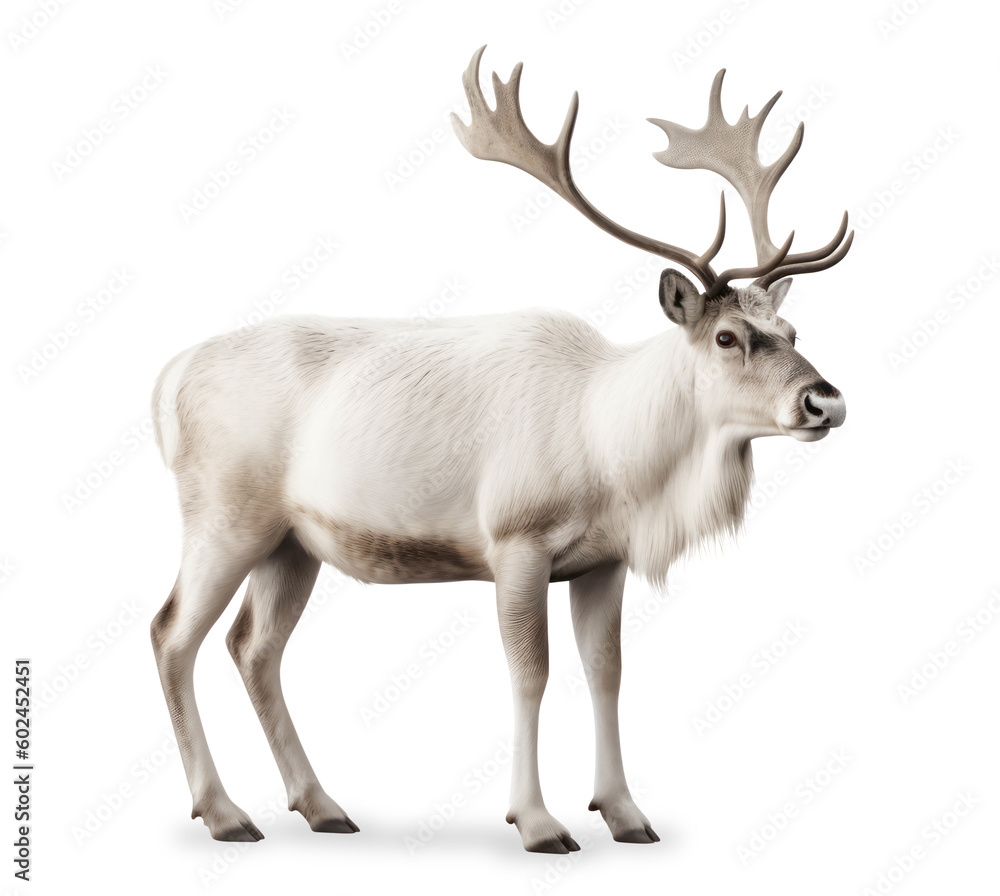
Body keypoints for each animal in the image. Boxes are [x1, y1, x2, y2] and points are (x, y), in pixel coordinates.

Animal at [150, 46, 851, 853]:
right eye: (729, 337)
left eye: (792, 332)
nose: (825, 400)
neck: (617, 456)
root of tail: (167, 382)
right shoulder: (517, 539)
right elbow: (530, 674)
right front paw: (538, 820)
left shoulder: (603, 560)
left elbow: (606, 672)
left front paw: (624, 811)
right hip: (223, 515)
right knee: (172, 633)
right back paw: (223, 812)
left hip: (291, 542)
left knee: (253, 647)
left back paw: (320, 804)